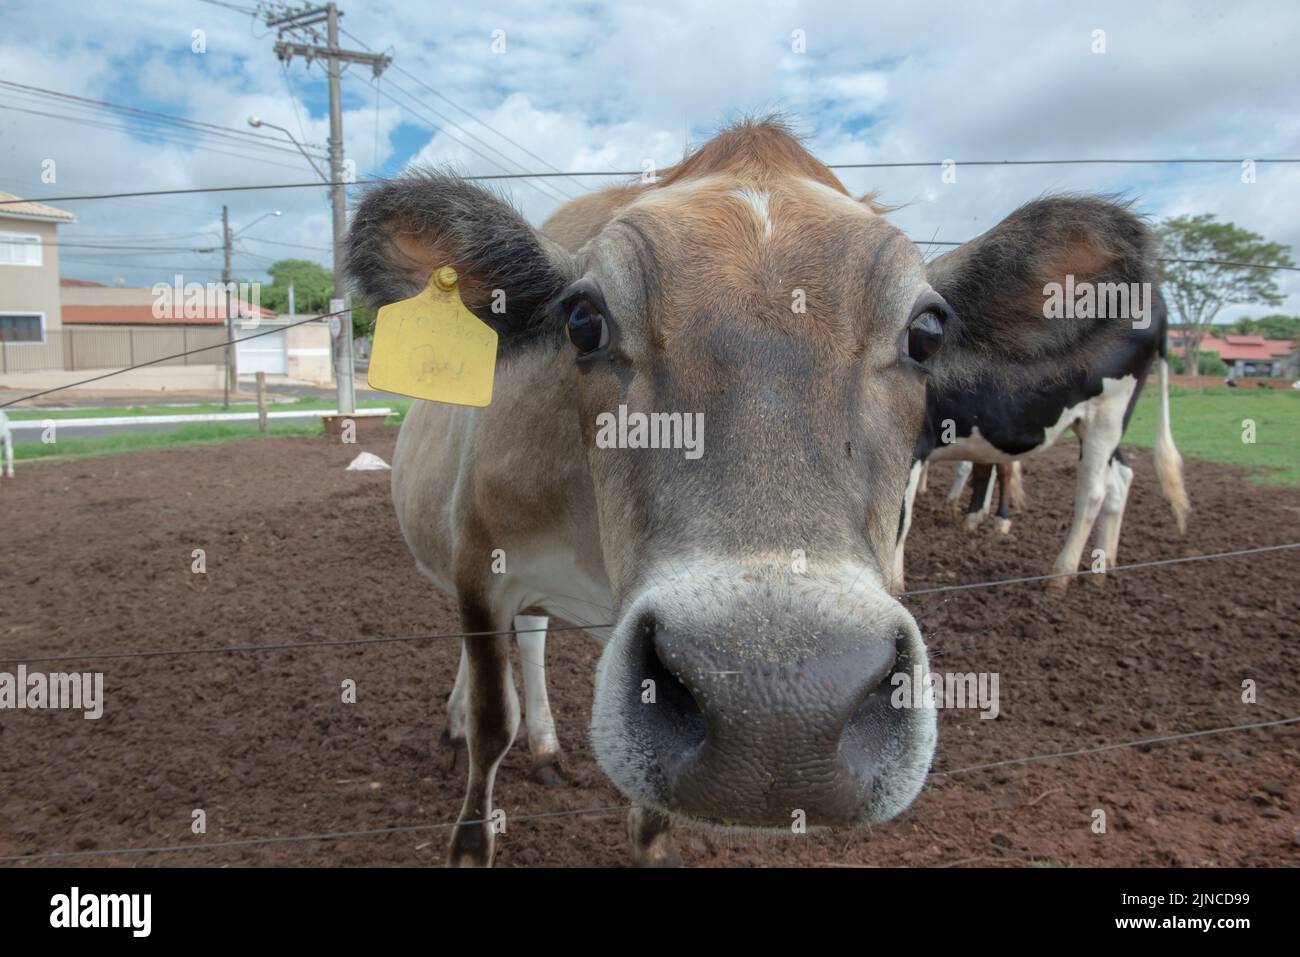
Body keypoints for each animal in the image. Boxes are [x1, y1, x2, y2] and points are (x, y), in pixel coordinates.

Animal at [892, 286, 1189, 593]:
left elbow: (899, 521)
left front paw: (895, 586)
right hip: (1098, 424)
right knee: (1120, 479)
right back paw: (1102, 567)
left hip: (1107, 413)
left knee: (1093, 492)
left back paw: (1061, 575)